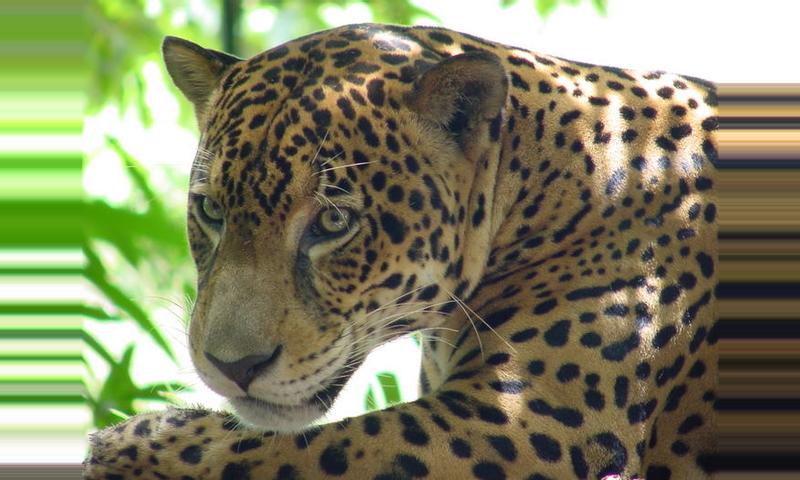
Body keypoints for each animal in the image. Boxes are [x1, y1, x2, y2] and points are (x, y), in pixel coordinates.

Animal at [84, 23, 719, 480]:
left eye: (333, 221)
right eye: (212, 212)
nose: (232, 368)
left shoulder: (534, 424)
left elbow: (313, 449)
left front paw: (130, 440)